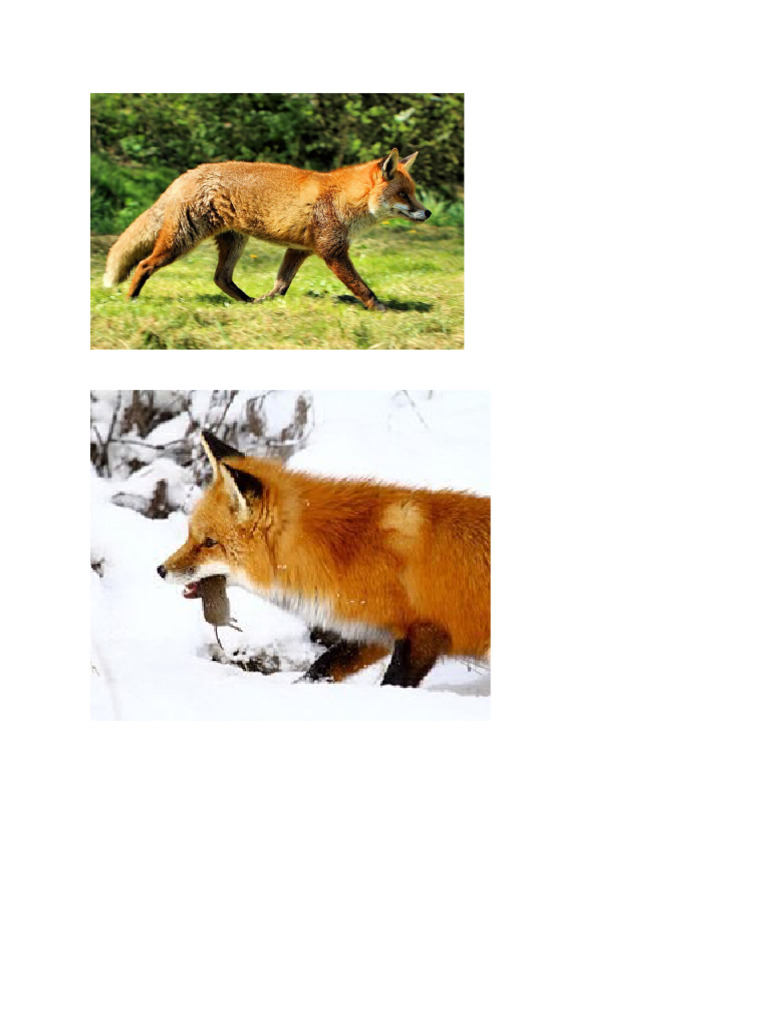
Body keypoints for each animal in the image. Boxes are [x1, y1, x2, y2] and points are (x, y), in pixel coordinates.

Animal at [103, 149, 431, 311]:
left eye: (414, 193)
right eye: (404, 195)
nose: (427, 212)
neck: (342, 198)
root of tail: (187, 174)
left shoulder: (299, 250)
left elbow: (281, 285)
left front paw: (267, 302)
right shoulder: (332, 250)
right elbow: (361, 286)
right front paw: (380, 308)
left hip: (235, 243)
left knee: (221, 278)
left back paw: (247, 302)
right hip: (183, 241)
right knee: (144, 264)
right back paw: (131, 300)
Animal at [157, 432, 490, 687]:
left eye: (209, 543)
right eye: (190, 535)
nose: (160, 570)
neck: (350, 549)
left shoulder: (423, 632)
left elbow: (391, 682)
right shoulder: (373, 631)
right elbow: (322, 666)